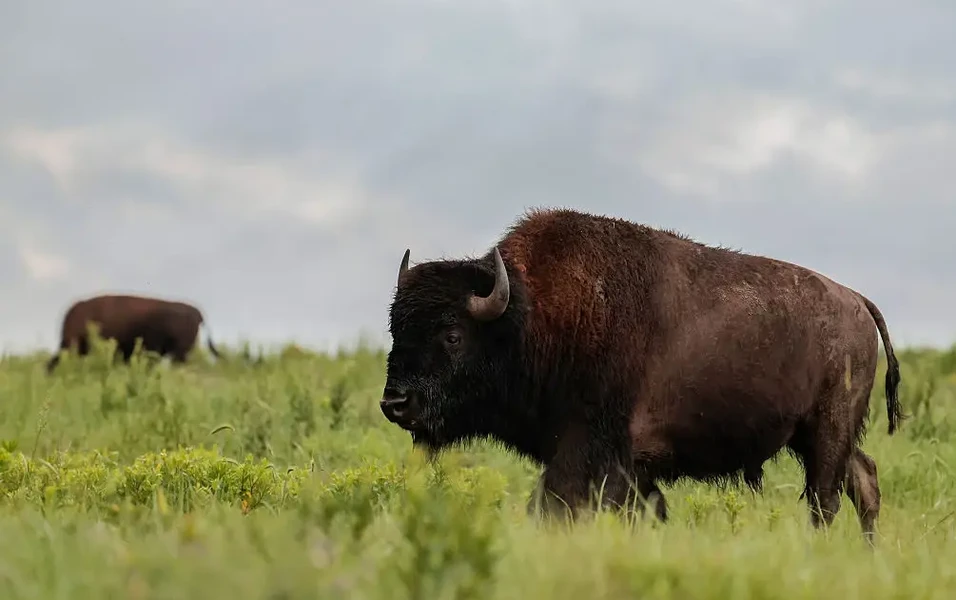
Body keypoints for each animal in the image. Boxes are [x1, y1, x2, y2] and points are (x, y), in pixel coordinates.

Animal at [380, 207, 902, 544]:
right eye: (395, 328)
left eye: (452, 335)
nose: (395, 403)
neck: (531, 317)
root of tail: (857, 300)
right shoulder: (625, 466)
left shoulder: (587, 451)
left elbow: (556, 505)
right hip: (814, 435)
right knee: (863, 479)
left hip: (827, 429)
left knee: (826, 498)